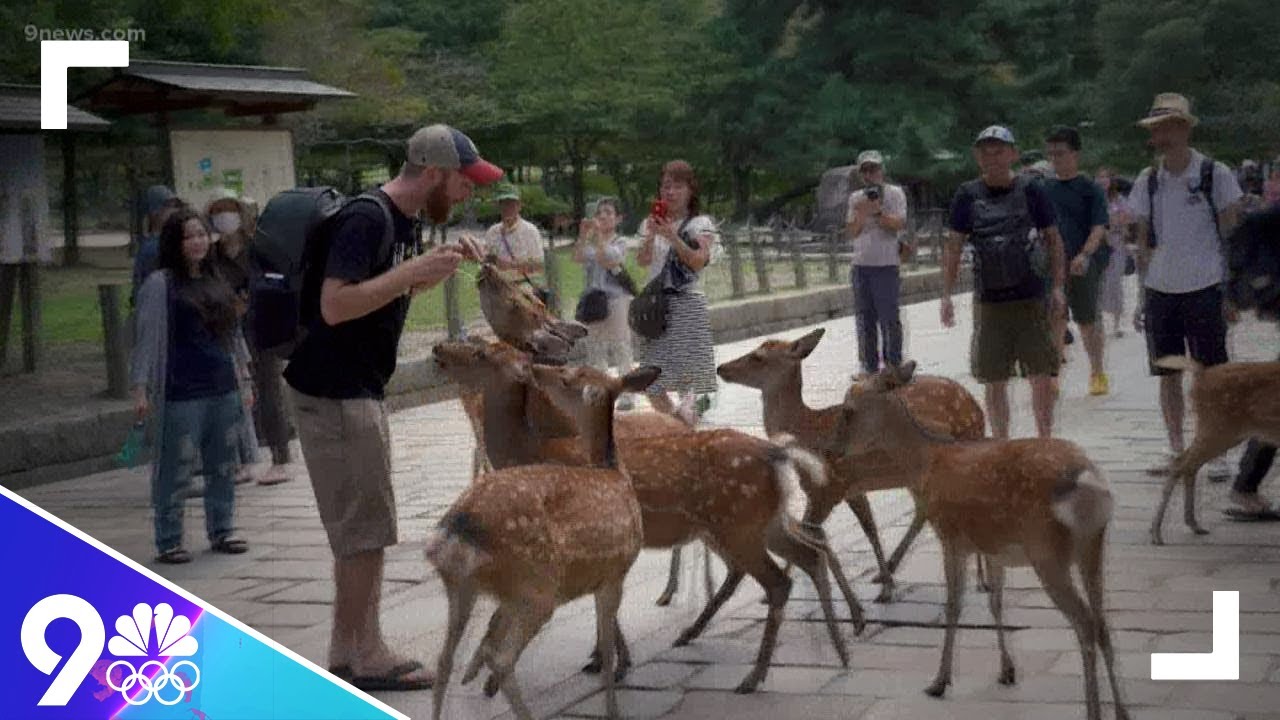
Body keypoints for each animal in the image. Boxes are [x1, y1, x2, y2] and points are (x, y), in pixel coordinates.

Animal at [425, 364, 658, 720]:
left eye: (567, 376)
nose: (534, 369)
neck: (616, 472)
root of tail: (458, 530)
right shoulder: (615, 572)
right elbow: (605, 646)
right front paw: (613, 709)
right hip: (536, 586)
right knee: (501, 658)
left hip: (468, 587)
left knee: (444, 661)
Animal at [433, 342, 861, 694]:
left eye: (480, 352)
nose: (438, 350)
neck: (526, 451)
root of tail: (778, 455)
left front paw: (610, 661)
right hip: (758, 523)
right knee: (808, 549)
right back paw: (840, 642)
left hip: (737, 525)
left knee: (778, 574)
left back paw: (755, 672)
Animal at [717, 327, 988, 602]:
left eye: (758, 357)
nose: (721, 368)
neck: (807, 430)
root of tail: (975, 405)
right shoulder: (848, 489)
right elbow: (869, 529)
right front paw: (886, 584)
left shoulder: (828, 489)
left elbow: (810, 533)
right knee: (922, 511)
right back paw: (891, 569)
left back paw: (980, 580)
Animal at [828, 362, 1129, 720]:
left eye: (848, 410)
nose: (833, 450)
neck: (926, 460)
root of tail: (1087, 480)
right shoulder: (994, 547)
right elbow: (996, 602)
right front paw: (1007, 671)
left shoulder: (950, 536)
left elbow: (954, 605)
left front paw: (939, 681)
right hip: (1093, 544)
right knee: (1103, 622)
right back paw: (1122, 713)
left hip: (1046, 551)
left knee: (1085, 624)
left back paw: (1093, 711)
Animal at [1149, 358, 1280, 545]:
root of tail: (1201, 376)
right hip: (1218, 428)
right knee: (1181, 464)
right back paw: (1157, 532)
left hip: (1217, 429)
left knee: (1187, 464)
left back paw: (1193, 524)